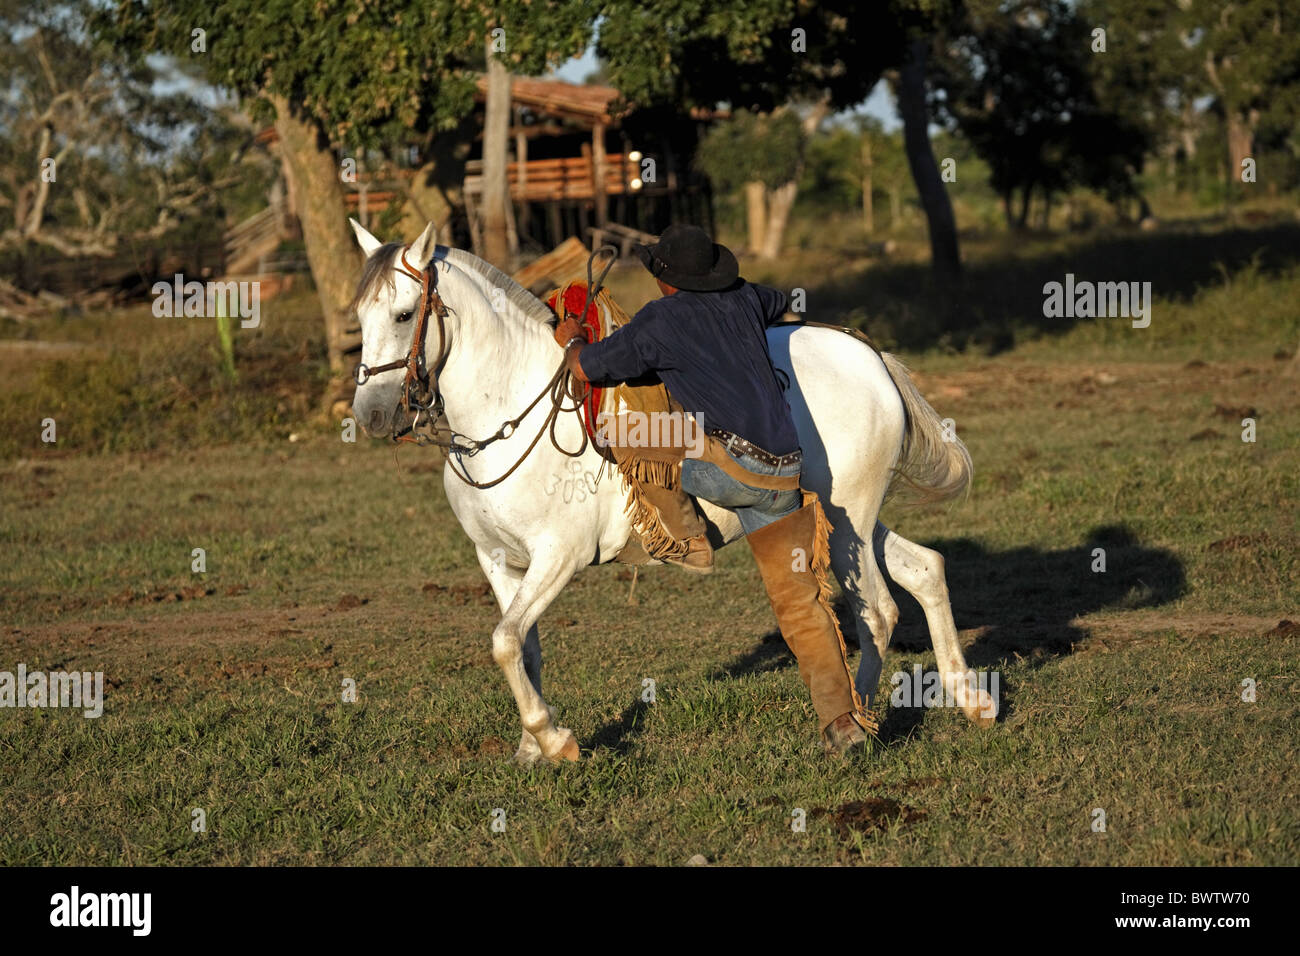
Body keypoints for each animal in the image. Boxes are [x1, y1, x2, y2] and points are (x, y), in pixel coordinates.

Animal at [347, 219, 995, 764]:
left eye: (404, 315)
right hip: (841, 515)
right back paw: (969, 698)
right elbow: (523, 645)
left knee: (877, 610)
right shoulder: (499, 559)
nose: (372, 415)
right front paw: (533, 747)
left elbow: (505, 641)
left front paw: (554, 740)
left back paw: (856, 723)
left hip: (849, 521)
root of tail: (869, 355)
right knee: (925, 569)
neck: (508, 410)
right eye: (360, 316)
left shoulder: (560, 556)